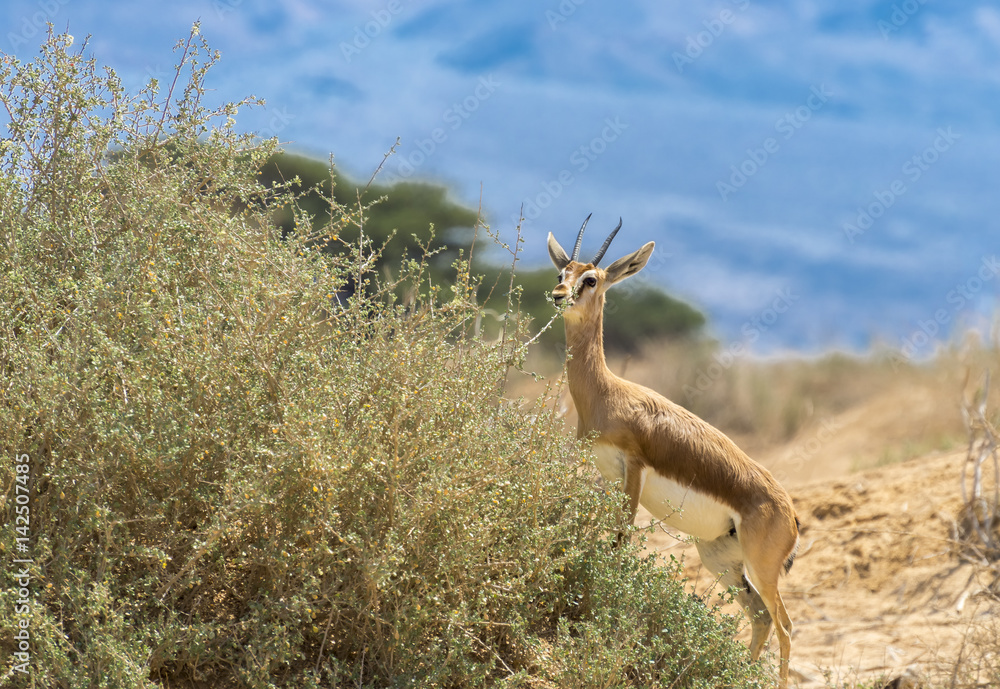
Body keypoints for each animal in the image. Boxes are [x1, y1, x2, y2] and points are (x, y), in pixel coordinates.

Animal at [548, 215, 800, 689]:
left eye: (591, 279)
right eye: (561, 273)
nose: (557, 296)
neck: (607, 393)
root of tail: (791, 514)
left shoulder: (632, 472)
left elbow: (619, 545)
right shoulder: (607, 476)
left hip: (761, 568)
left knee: (785, 625)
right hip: (719, 559)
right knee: (759, 617)